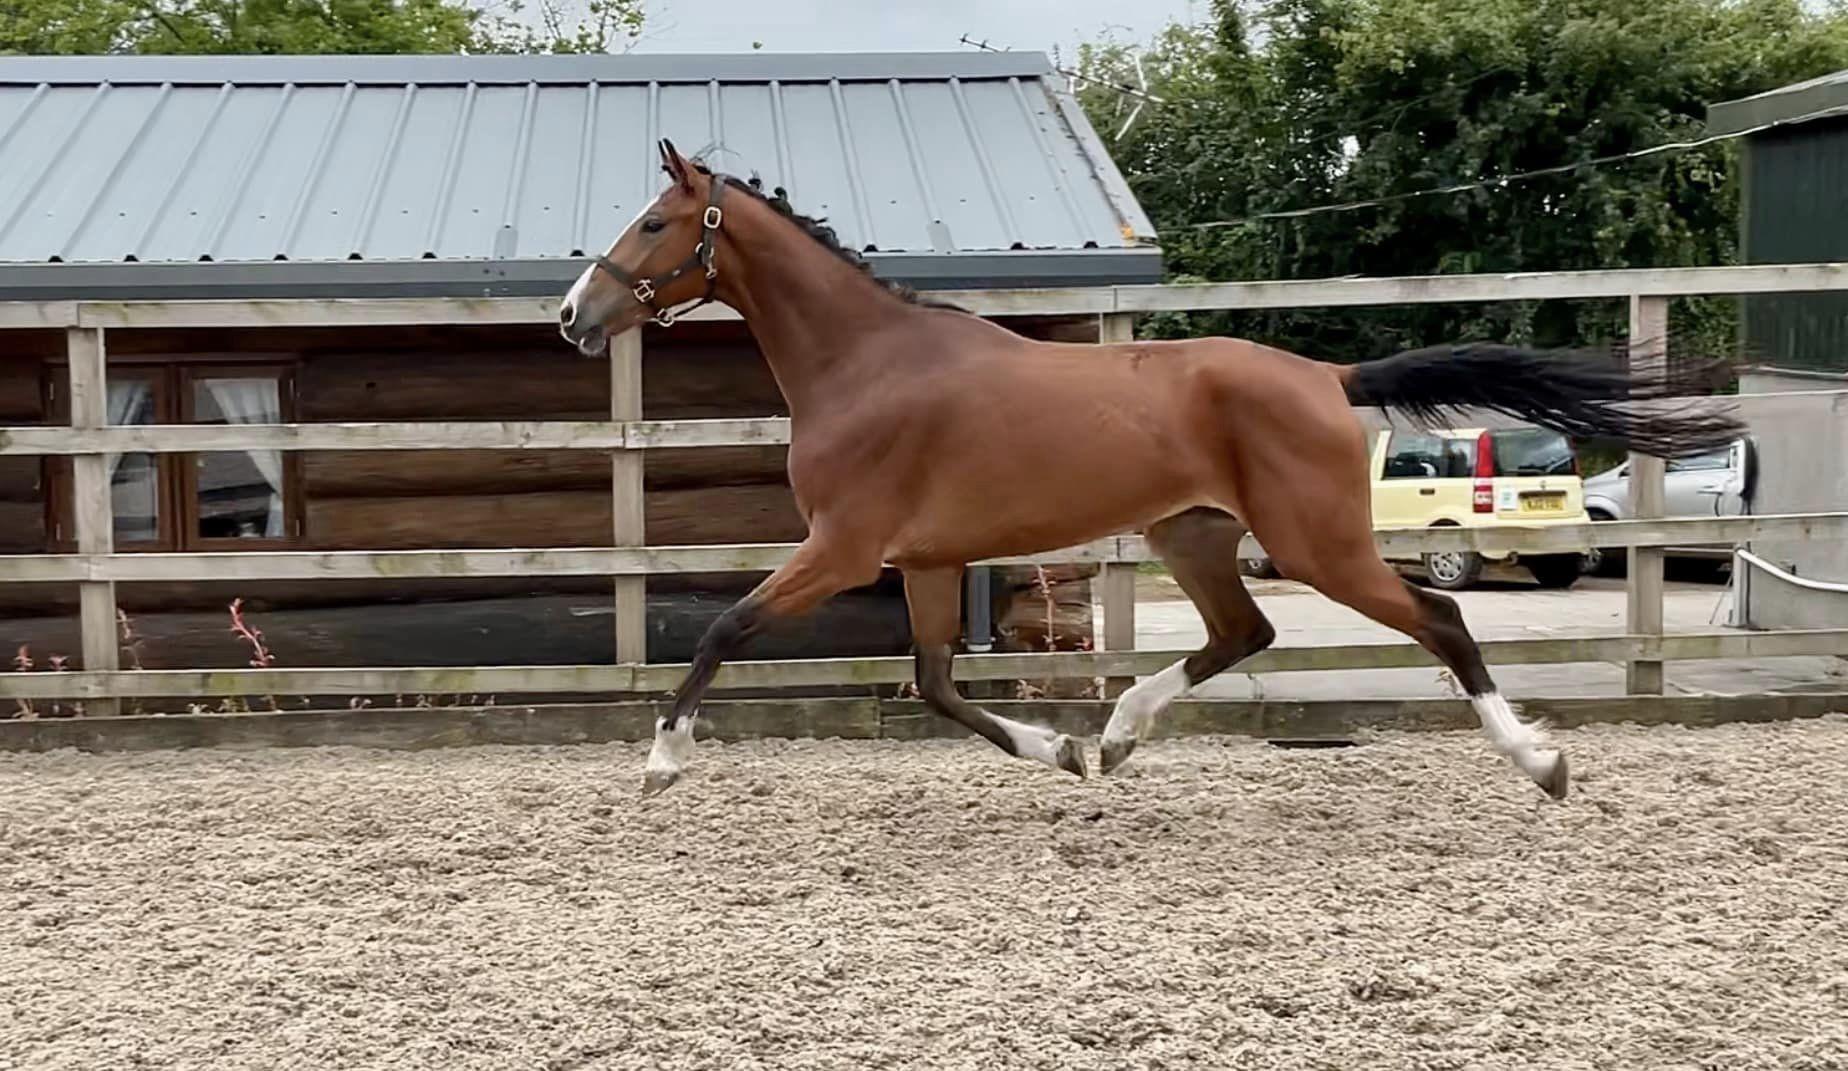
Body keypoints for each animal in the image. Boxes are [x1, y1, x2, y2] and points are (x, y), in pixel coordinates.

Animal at [558, 139, 1745, 800]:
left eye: (655, 222)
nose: (575, 314)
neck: (863, 363)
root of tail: (1326, 376)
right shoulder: (926, 560)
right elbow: (936, 682)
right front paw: (1058, 752)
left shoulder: (843, 548)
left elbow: (725, 628)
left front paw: (662, 760)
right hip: (1198, 534)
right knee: (1243, 634)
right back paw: (1119, 735)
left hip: (1317, 544)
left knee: (1439, 621)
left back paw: (1542, 764)